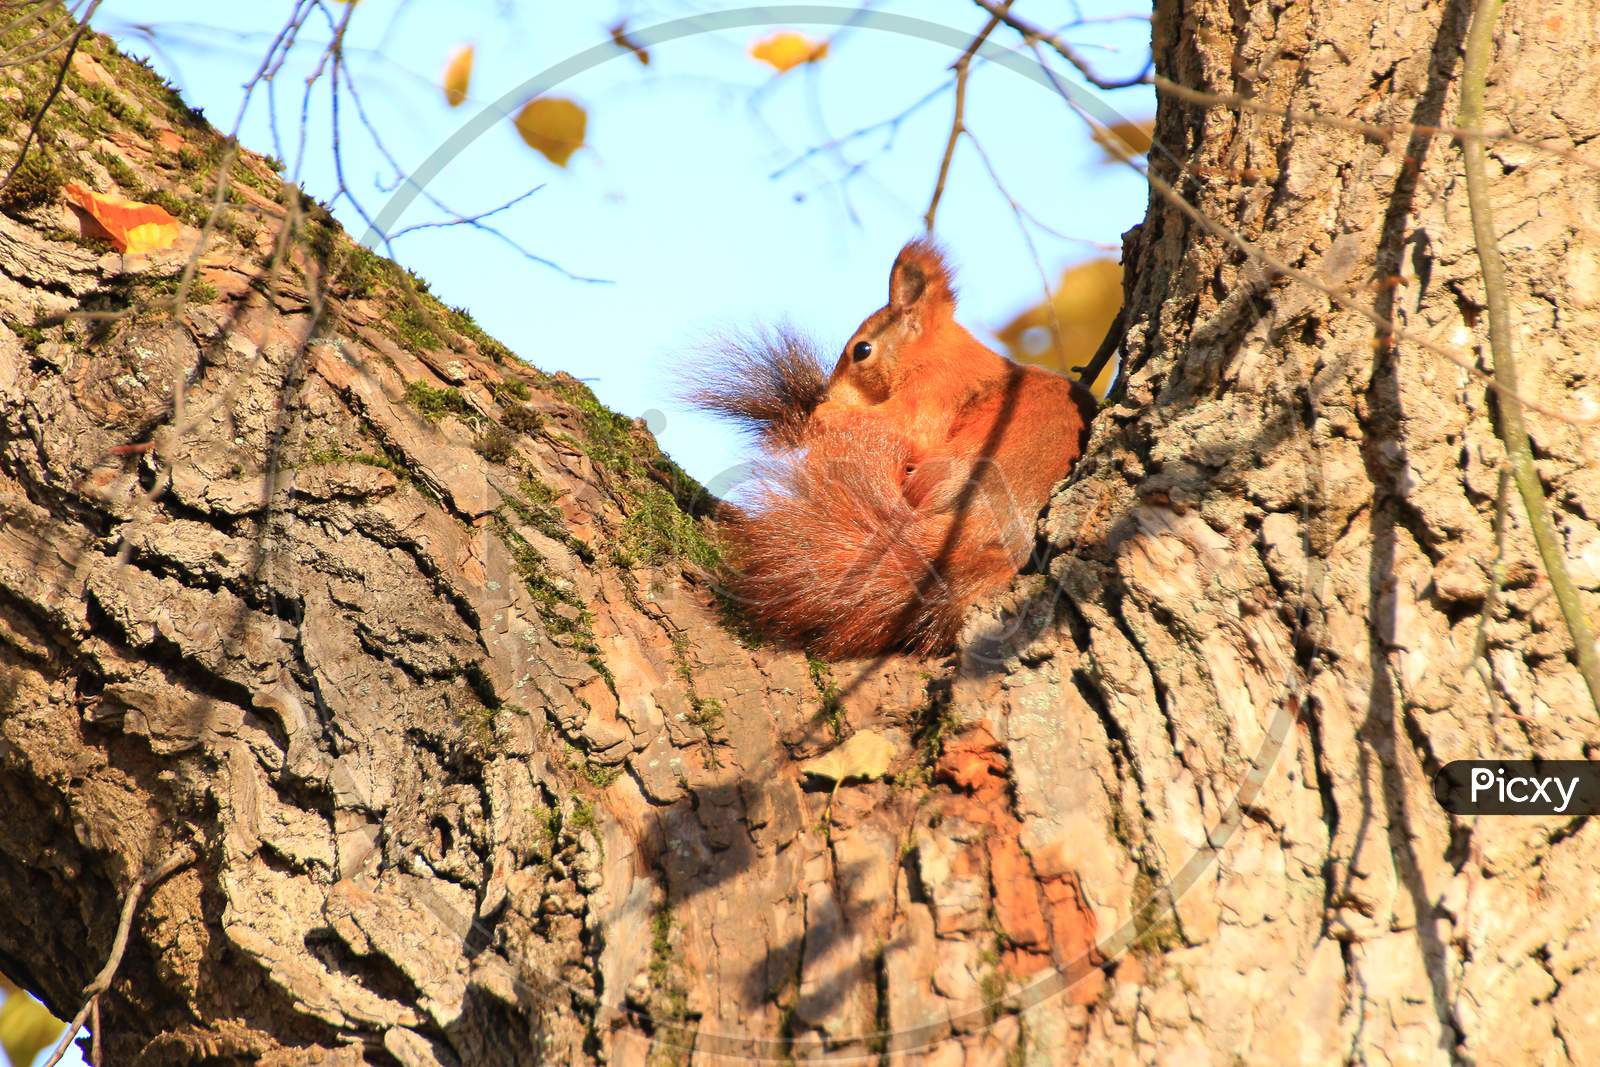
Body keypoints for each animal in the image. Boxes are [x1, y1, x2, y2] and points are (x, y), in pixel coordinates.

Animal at [687, 239, 1096, 658]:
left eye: (862, 350)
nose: (827, 396)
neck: (943, 356)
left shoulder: (933, 392)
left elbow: (903, 427)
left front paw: (823, 413)